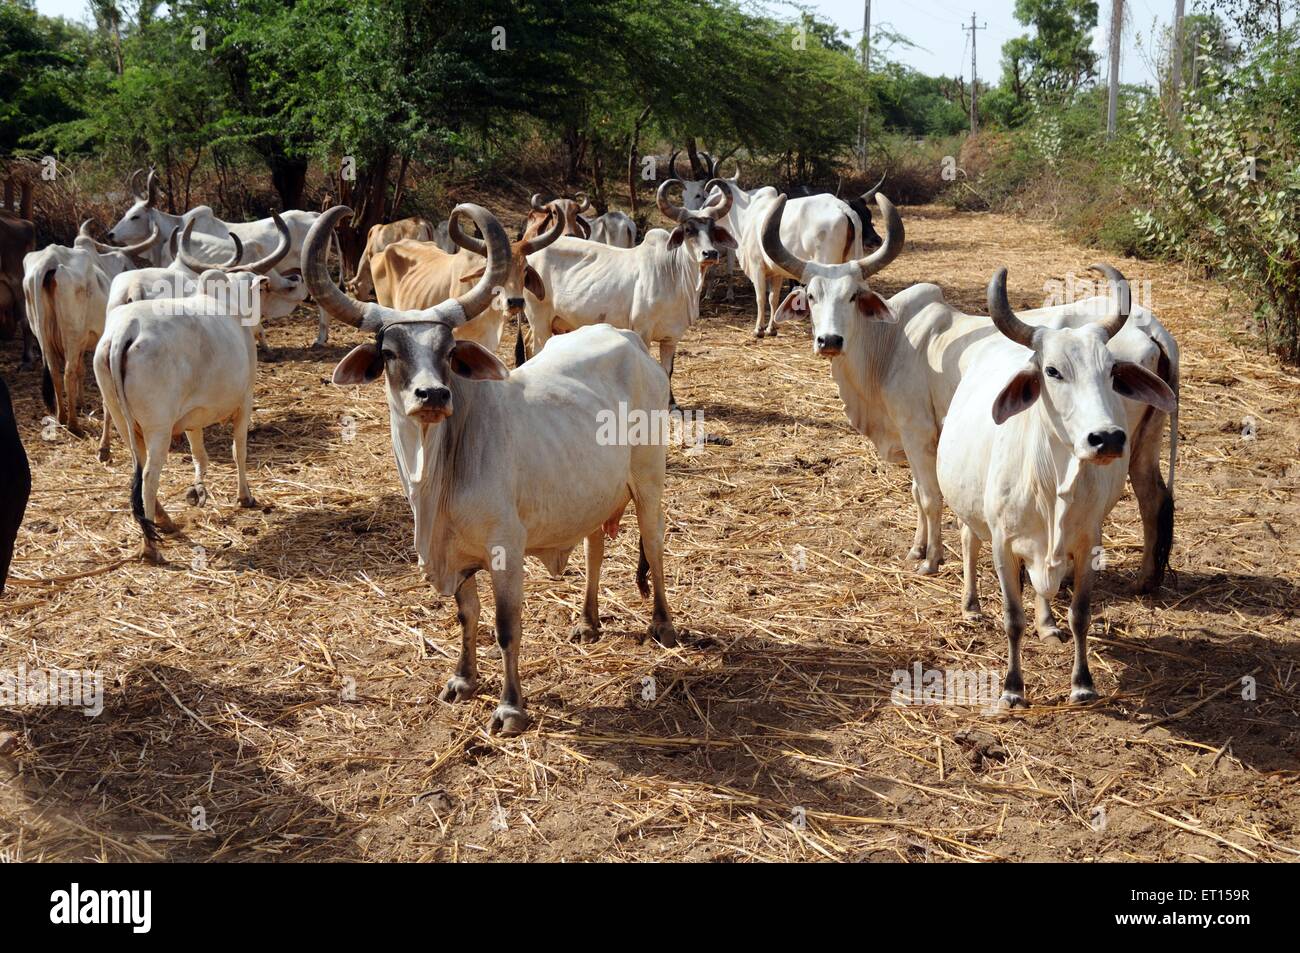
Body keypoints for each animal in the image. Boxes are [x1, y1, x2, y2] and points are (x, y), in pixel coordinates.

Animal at [93, 216, 300, 562]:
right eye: (261, 286)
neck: (226, 301)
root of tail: (126, 332)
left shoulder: (192, 416)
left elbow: (199, 453)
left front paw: (198, 490)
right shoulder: (245, 399)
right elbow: (238, 450)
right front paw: (245, 496)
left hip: (126, 423)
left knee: (136, 469)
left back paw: (165, 522)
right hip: (159, 427)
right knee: (148, 476)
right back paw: (150, 546)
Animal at [301, 203, 678, 736]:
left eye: (447, 351)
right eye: (391, 353)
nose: (433, 395)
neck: (438, 475)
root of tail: (629, 341)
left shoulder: (505, 550)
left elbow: (504, 628)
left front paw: (511, 707)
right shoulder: (459, 557)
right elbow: (467, 616)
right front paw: (463, 680)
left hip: (648, 480)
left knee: (654, 541)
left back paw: (662, 623)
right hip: (592, 492)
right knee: (595, 547)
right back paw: (587, 621)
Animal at [523, 179, 735, 407]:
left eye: (712, 229)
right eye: (689, 229)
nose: (710, 253)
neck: (676, 278)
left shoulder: (671, 338)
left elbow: (668, 370)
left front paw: (671, 404)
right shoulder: (642, 331)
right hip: (539, 319)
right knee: (537, 348)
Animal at [760, 195, 1181, 593]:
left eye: (852, 296)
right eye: (812, 296)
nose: (829, 340)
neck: (893, 341)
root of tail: (1147, 325)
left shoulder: (917, 433)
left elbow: (930, 496)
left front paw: (930, 559)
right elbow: (917, 491)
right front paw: (917, 548)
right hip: (1142, 443)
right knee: (1153, 496)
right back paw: (1146, 580)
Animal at [936, 267, 1177, 708]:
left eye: (1111, 371)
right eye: (1052, 371)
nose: (1107, 438)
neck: (1051, 482)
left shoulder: (1086, 544)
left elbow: (1080, 614)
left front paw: (1082, 682)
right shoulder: (1002, 543)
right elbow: (1012, 618)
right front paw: (1013, 688)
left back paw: (1049, 620)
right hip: (969, 507)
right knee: (967, 540)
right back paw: (971, 604)